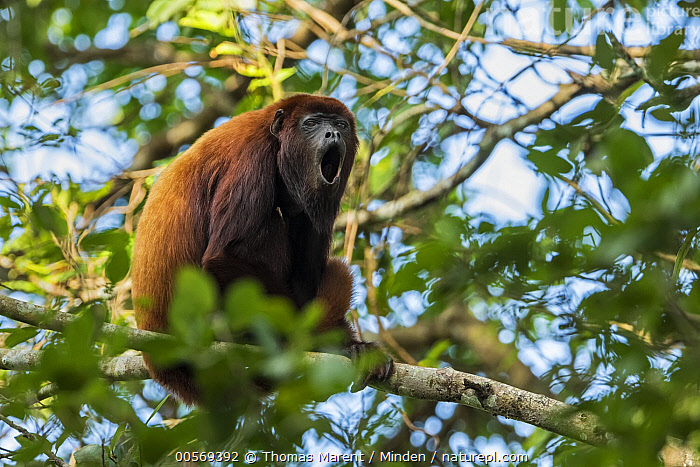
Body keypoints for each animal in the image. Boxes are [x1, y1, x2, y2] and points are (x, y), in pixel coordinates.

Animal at [131, 94, 393, 404]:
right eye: (312, 123)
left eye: (340, 125)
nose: (334, 134)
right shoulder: (251, 158)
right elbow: (225, 255)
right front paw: (320, 339)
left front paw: (351, 345)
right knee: (270, 223)